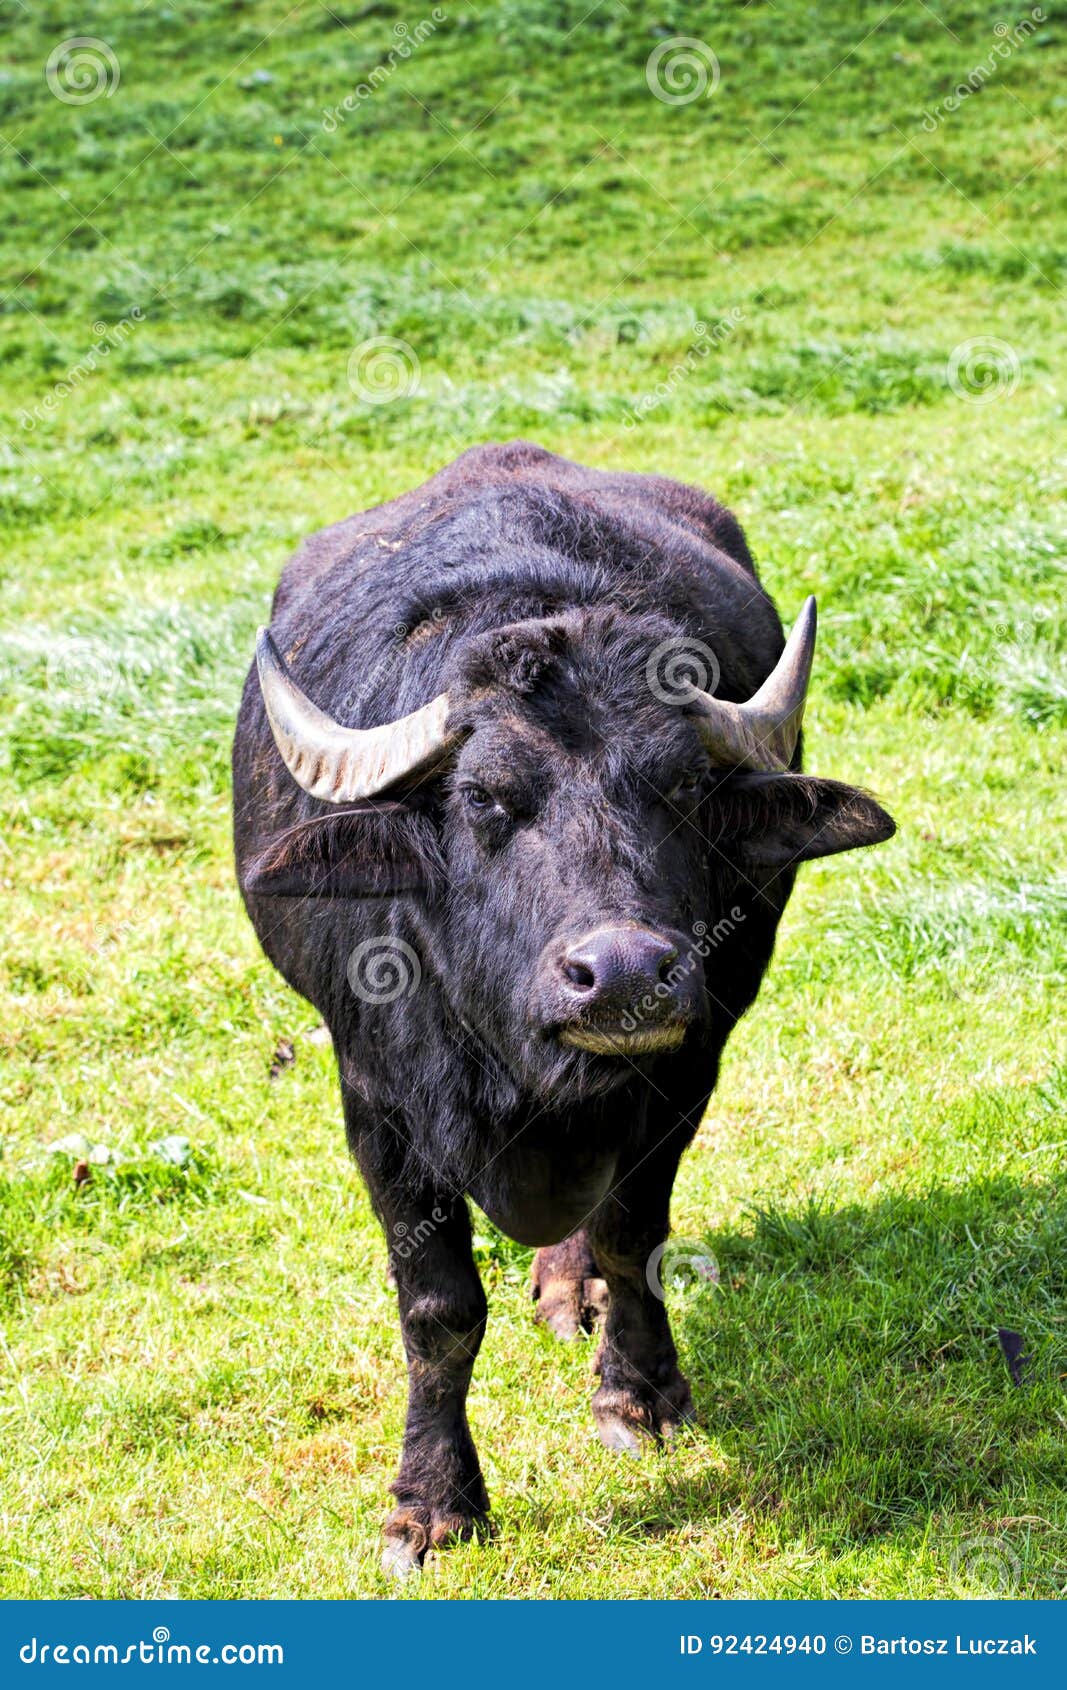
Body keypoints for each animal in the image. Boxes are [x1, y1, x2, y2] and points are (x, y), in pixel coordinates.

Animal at [232, 441, 894, 1574]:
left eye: (681, 790)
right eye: (484, 796)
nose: (622, 974)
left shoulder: (683, 1069)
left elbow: (633, 1232)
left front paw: (640, 1394)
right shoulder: (375, 1103)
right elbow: (437, 1308)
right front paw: (431, 1502)